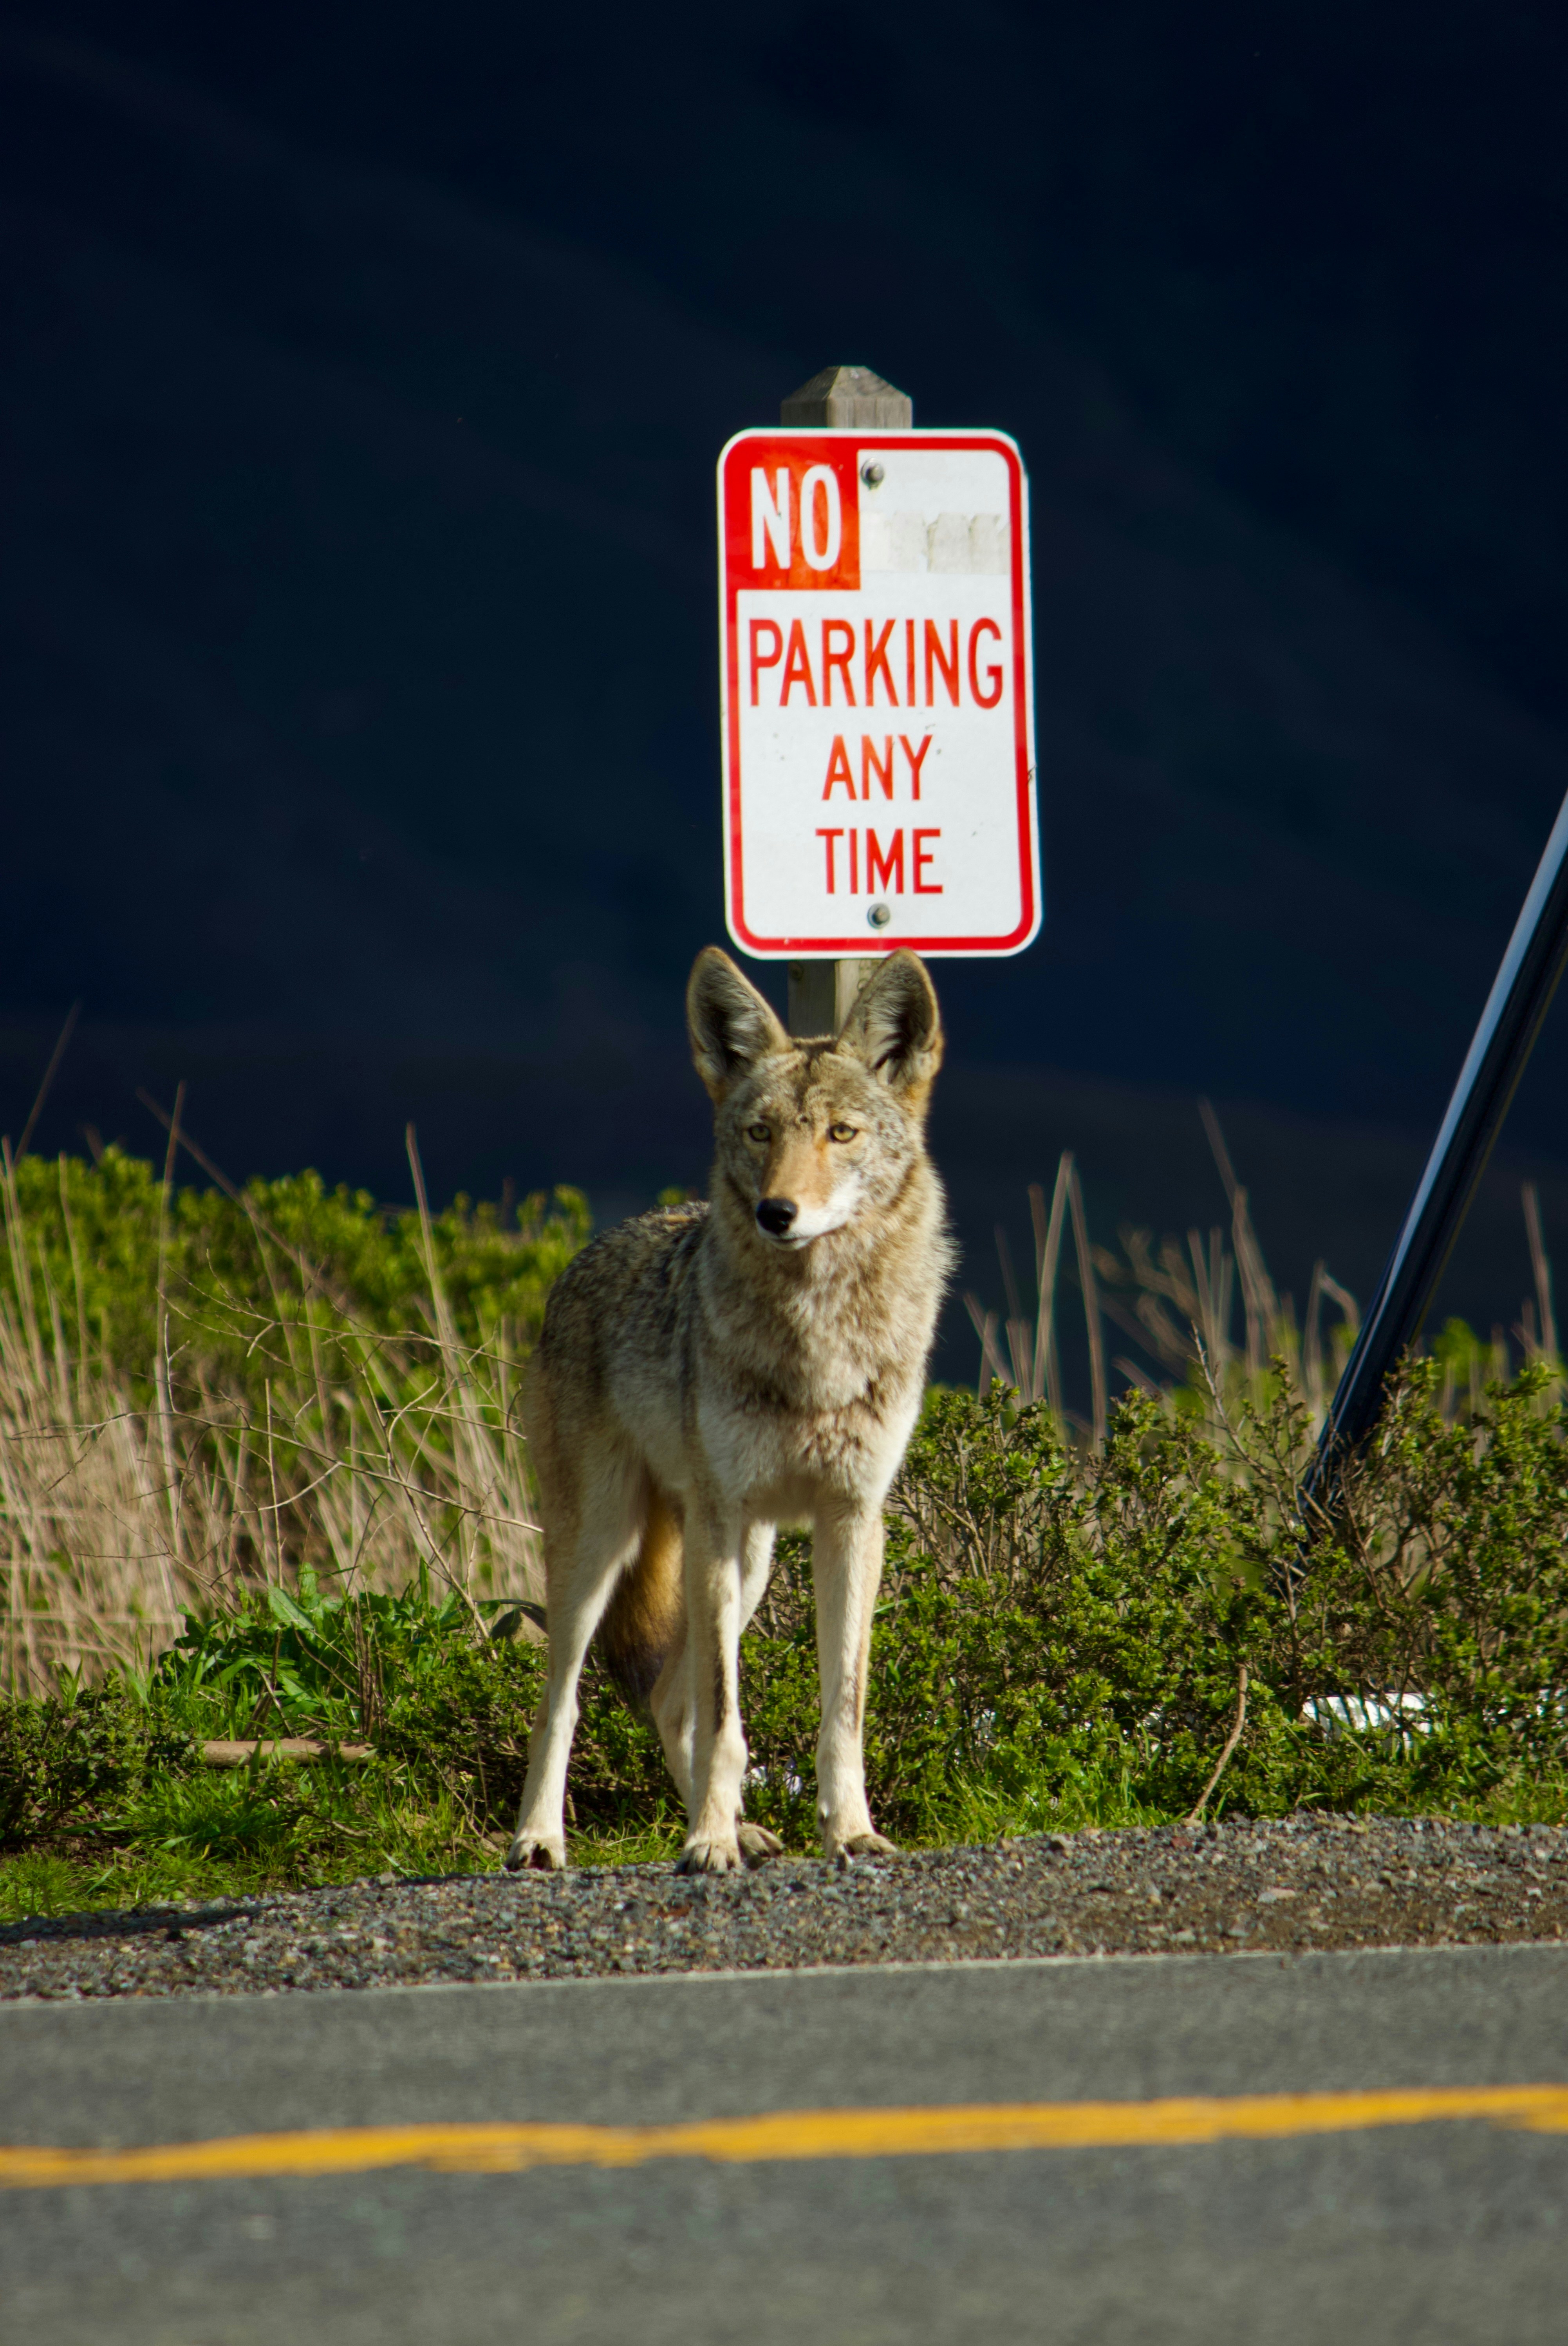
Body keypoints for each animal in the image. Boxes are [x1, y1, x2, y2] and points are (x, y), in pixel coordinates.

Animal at [504, 945, 951, 1875]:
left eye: (840, 1134)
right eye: (760, 1132)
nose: (776, 1212)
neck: (818, 1331)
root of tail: (589, 1250)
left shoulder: (853, 1519)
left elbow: (841, 1710)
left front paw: (849, 1831)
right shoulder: (723, 1513)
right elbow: (728, 1719)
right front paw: (707, 1843)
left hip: (753, 1562)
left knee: (669, 1699)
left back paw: (742, 1828)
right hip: (609, 1548)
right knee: (566, 1699)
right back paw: (540, 1840)